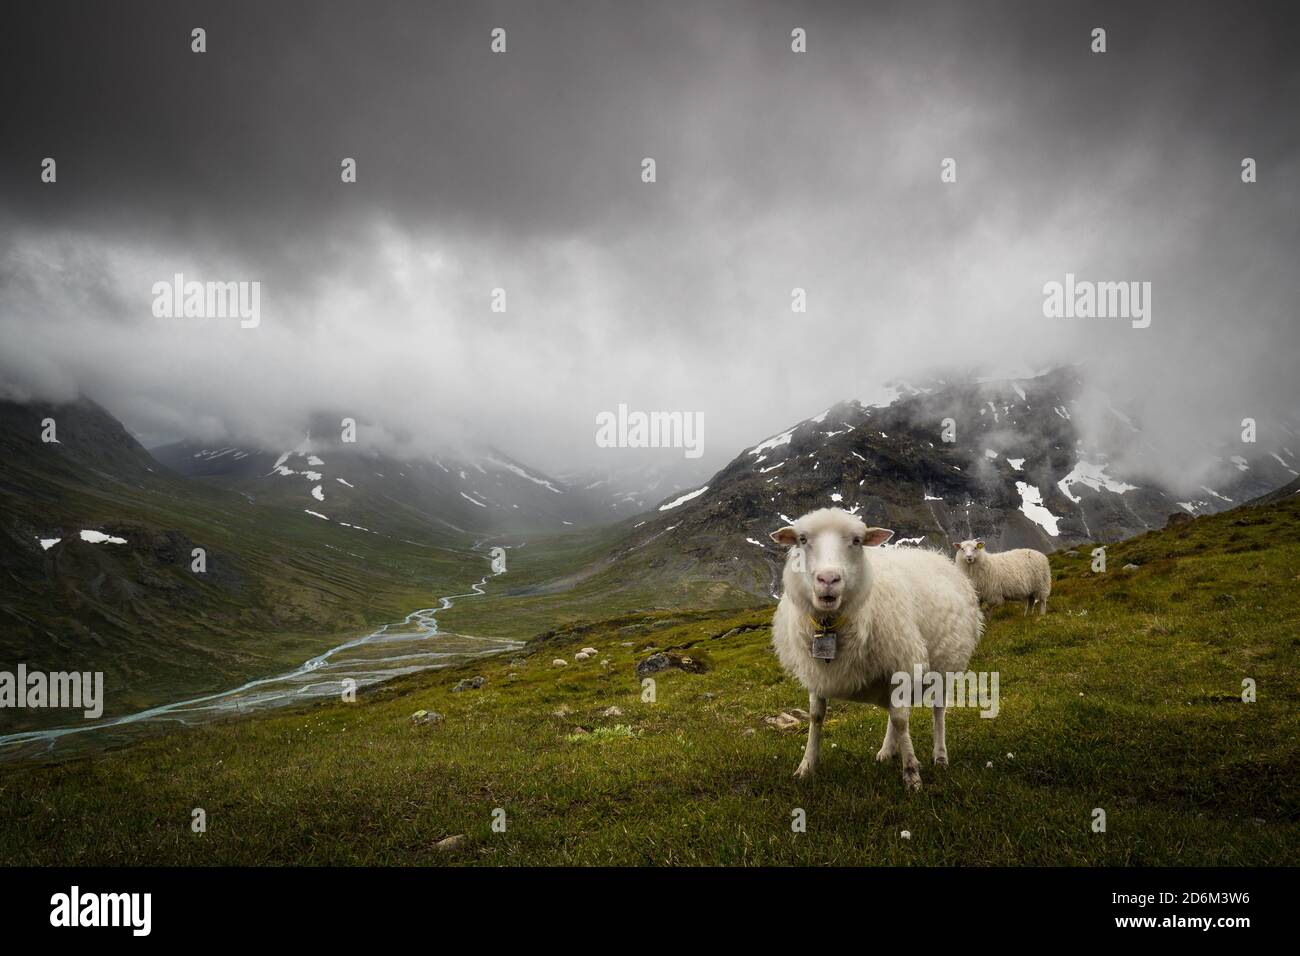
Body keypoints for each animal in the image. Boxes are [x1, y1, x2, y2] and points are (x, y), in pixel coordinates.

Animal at [770, 508, 984, 790]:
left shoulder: (902, 662)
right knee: (894, 712)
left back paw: (940, 756)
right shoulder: (816, 672)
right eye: (802, 539)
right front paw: (806, 766)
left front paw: (912, 774)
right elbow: (816, 717)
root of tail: (936, 555)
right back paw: (886, 751)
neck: (831, 624)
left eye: (857, 541)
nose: (828, 579)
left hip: (944, 668)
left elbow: (902, 721)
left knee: (936, 711)